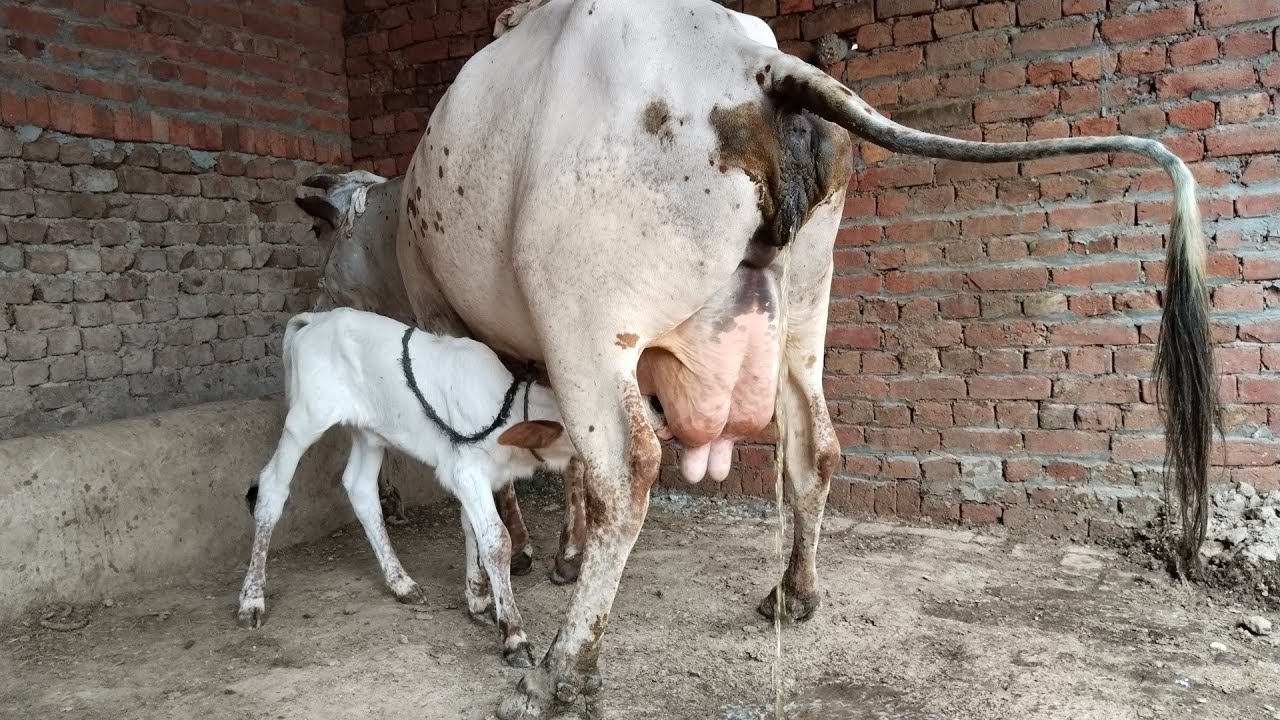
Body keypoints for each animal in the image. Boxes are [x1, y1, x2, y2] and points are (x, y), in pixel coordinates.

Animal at [298, 0, 1214, 716]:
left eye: (327, 236)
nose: (319, 292)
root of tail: (748, 58)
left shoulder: (453, 317)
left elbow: (521, 472)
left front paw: (512, 576)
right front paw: (555, 558)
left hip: (586, 315)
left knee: (627, 469)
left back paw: (563, 671)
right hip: (804, 303)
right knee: (816, 446)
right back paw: (792, 594)